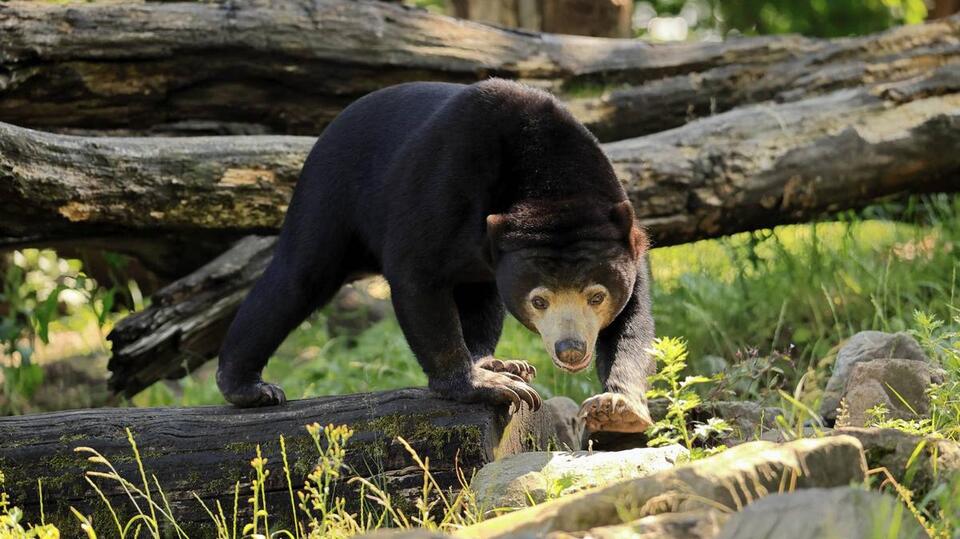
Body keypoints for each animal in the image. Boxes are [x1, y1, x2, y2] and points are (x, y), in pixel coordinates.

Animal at [217, 78, 655, 433]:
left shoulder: (619, 231)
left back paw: (496, 362)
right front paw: (486, 387)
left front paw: (617, 406)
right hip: (329, 193)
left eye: (596, 295)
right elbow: (416, 273)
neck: (547, 185)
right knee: (298, 278)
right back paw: (248, 387)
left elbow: (633, 314)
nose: (570, 349)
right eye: (539, 300)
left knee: (482, 296)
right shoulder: (445, 183)